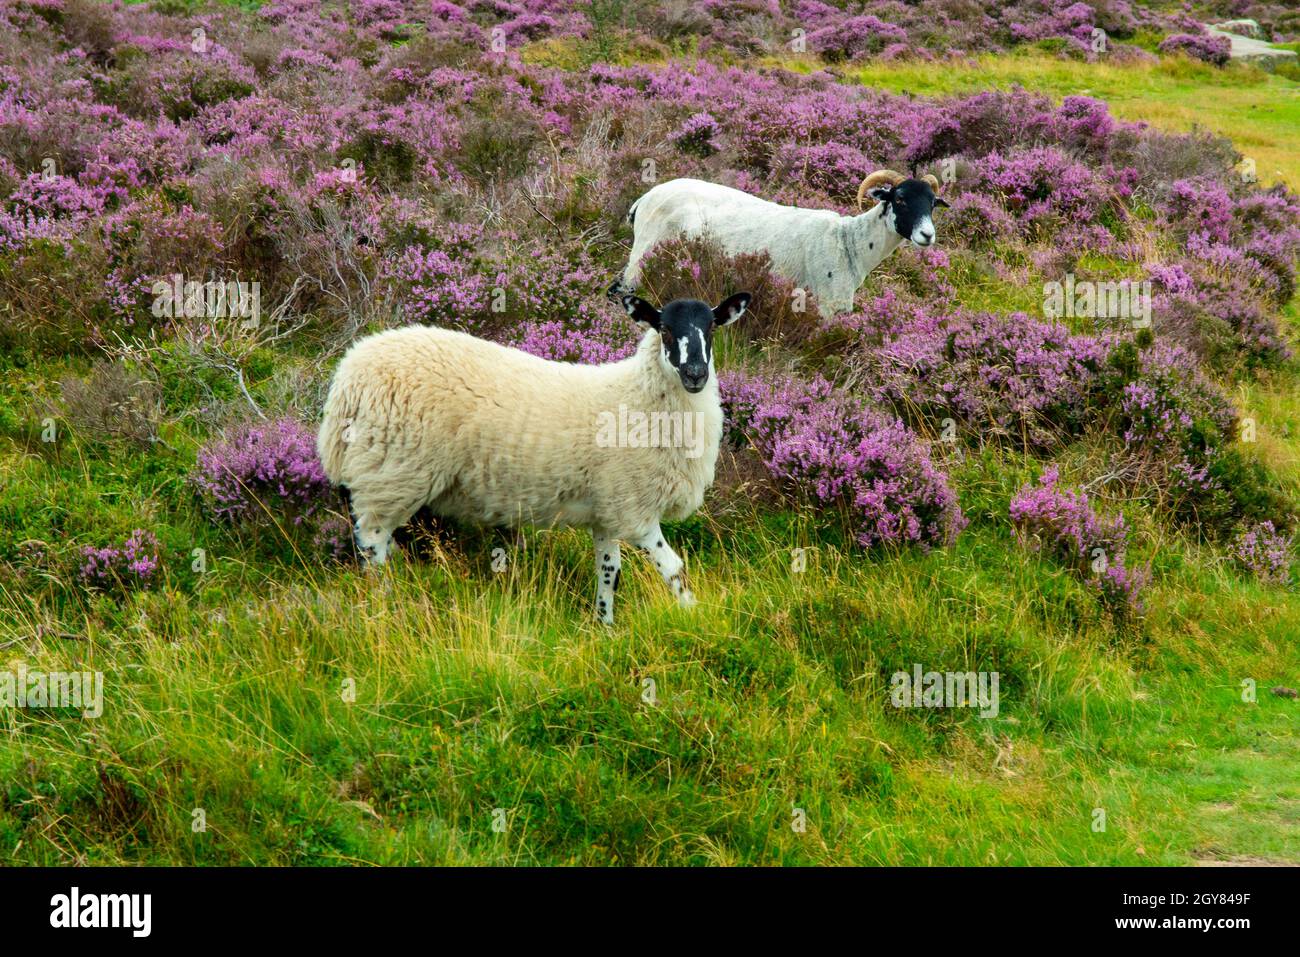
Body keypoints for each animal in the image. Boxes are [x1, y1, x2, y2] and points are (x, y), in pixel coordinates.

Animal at [316, 292, 751, 624]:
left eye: (712, 328)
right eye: (664, 329)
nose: (695, 374)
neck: (637, 396)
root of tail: (347, 377)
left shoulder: (607, 512)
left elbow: (609, 573)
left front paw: (605, 626)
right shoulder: (635, 511)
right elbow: (675, 570)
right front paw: (697, 618)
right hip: (390, 474)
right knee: (373, 547)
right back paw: (386, 607)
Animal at [613, 170, 947, 318]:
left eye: (932, 203)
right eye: (900, 199)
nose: (927, 236)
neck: (849, 243)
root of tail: (646, 197)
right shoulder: (827, 307)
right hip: (643, 255)